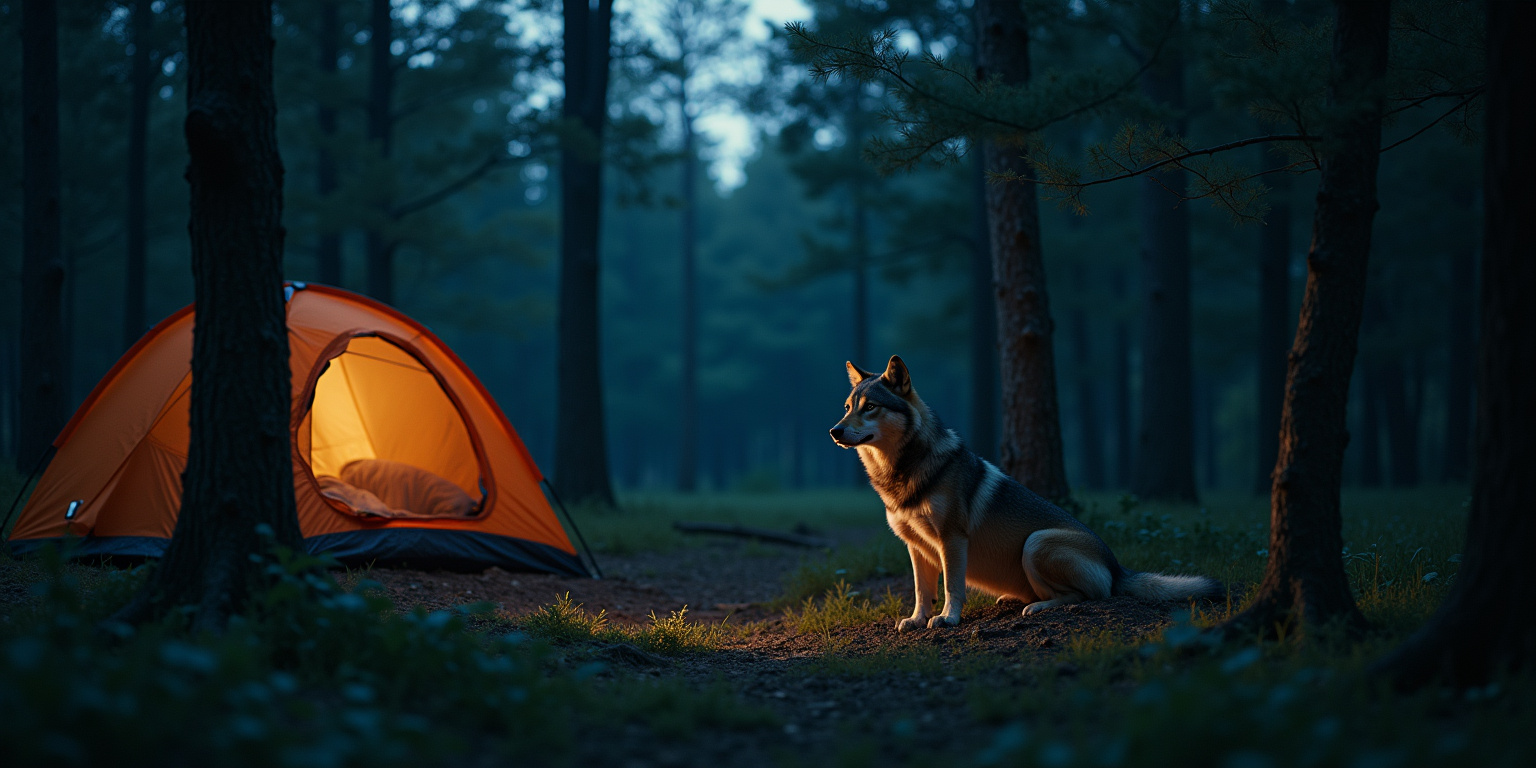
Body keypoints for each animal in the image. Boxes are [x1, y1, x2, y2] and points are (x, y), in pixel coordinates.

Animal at [829, 355, 1222, 631]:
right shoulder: (915, 546)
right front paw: (916, 620)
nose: (834, 431)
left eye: (870, 407)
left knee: (1087, 597)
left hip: (1037, 542)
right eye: (847, 407)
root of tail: (1117, 566)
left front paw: (948, 619)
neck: (901, 473)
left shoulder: (952, 539)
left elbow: (952, 587)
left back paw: (1035, 607)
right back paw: (1012, 599)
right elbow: (921, 591)